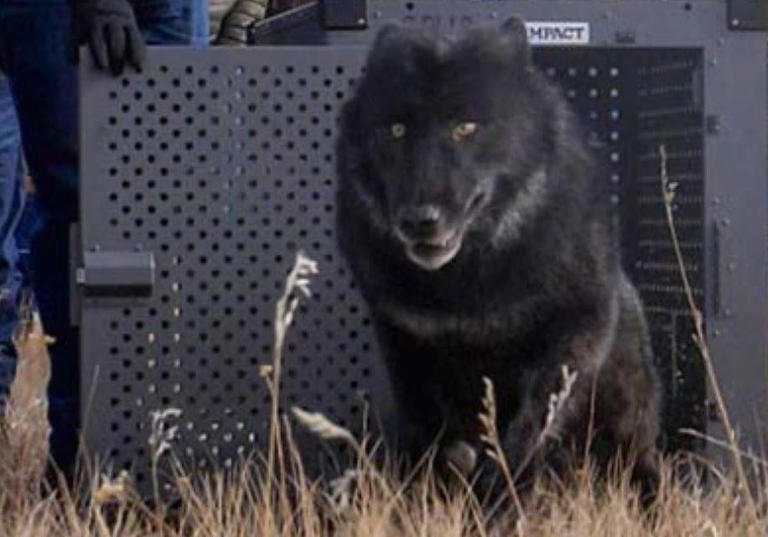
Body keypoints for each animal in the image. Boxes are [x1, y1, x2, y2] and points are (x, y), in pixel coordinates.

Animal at [335, 18, 661, 502]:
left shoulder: (574, 330)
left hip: (625, 427)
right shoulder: (403, 339)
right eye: (395, 130)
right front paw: (438, 494)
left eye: (465, 127)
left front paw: (500, 494)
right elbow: (431, 434)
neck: (468, 286)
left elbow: (529, 427)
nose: (419, 220)